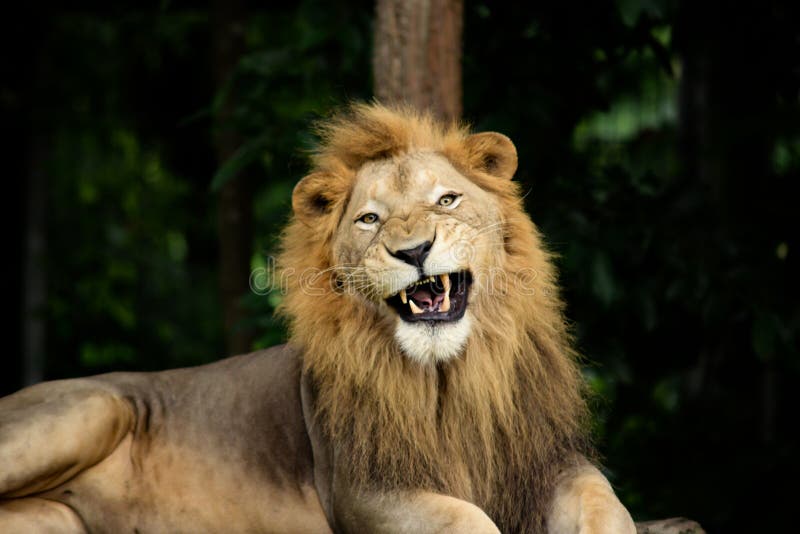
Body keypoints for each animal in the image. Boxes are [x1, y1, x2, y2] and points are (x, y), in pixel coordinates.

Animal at [0, 103, 636, 533]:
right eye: (370, 220)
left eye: (446, 201)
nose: (414, 251)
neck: (449, 375)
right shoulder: (366, 491)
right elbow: (468, 520)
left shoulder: (551, 460)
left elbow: (608, 504)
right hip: (92, 408)